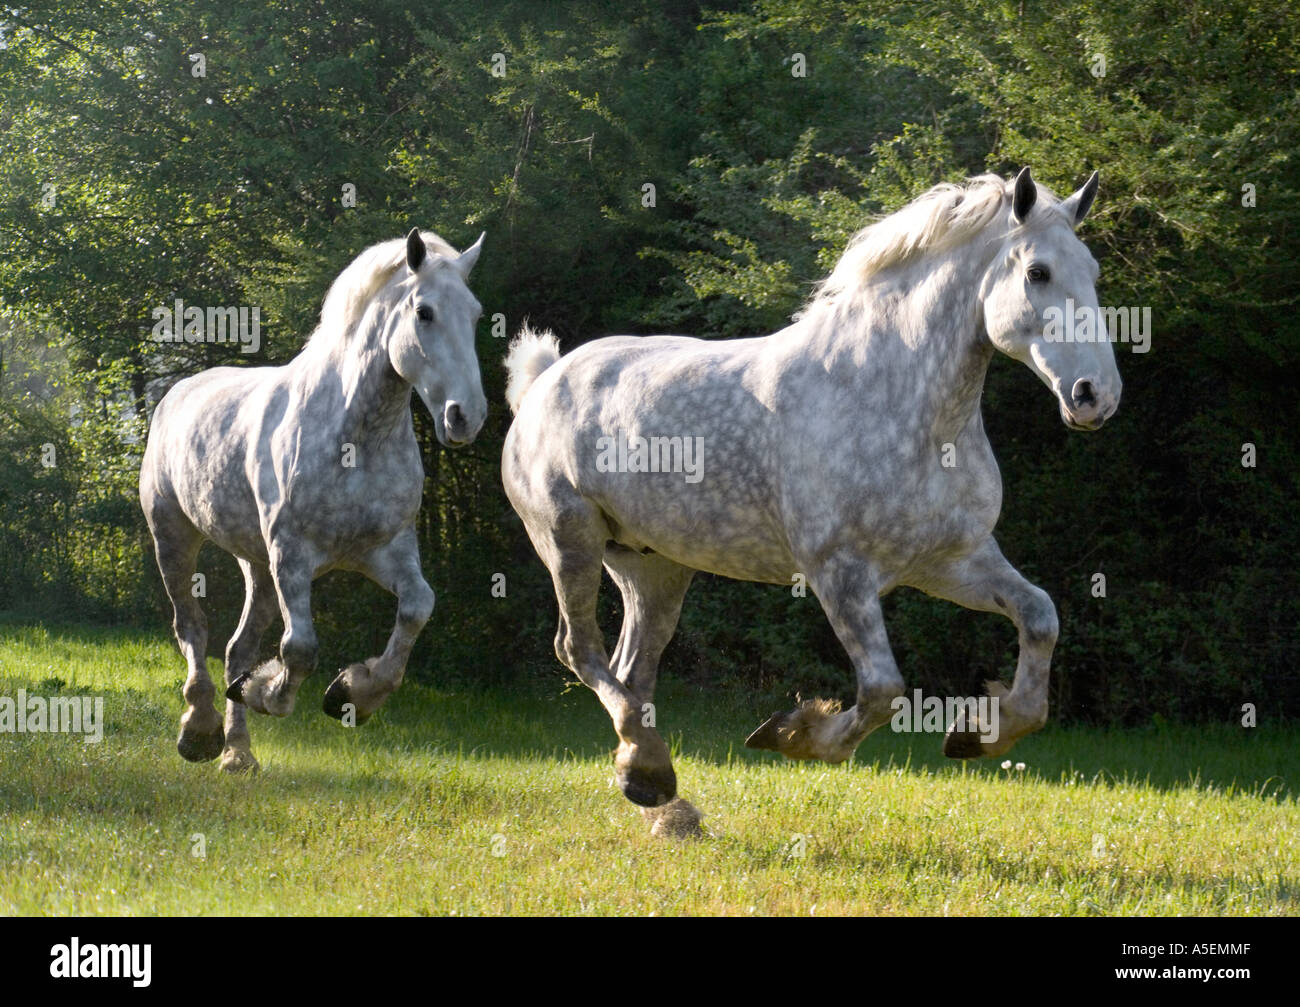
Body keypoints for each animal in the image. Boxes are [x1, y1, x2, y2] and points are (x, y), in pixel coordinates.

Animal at [140, 228, 486, 772]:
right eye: (425, 312)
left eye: (475, 314)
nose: (464, 416)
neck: (355, 437)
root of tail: (175, 393)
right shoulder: (293, 555)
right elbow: (300, 648)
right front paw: (266, 694)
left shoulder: (386, 550)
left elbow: (417, 608)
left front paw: (352, 693)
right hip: (174, 537)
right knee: (192, 629)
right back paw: (199, 731)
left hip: (257, 565)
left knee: (237, 648)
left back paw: (238, 754)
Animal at [502, 167, 1120, 817]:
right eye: (1038, 272)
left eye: (1094, 271)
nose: (1094, 396)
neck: (900, 404)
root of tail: (543, 380)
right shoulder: (838, 572)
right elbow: (883, 691)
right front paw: (792, 733)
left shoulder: (952, 561)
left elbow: (1040, 618)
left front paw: (977, 734)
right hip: (569, 540)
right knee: (578, 649)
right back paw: (647, 769)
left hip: (655, 567)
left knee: (631, 668)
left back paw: (646, 774)